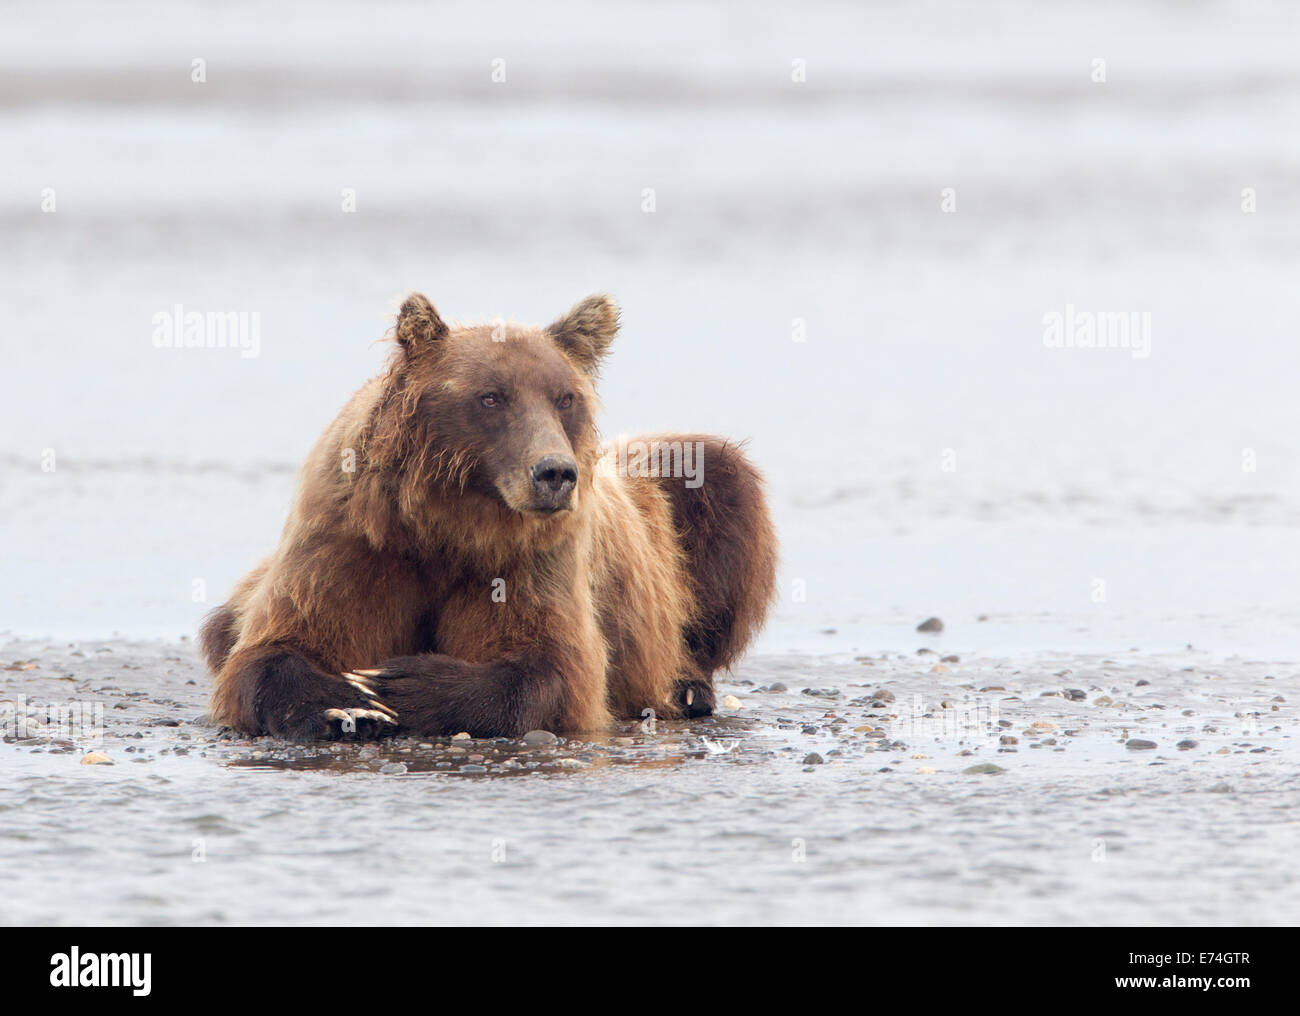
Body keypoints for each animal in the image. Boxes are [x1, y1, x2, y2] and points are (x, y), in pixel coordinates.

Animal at [199, 293, 777, 740]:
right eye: (492, 397)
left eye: (565, 397)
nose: (555, 473)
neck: (445, 527)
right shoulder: (351, 541)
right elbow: (272, 648)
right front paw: (347, 704)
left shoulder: (532, 557)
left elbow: (551, 665)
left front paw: (400, 684)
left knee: (714, 474)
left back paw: (690, 686)